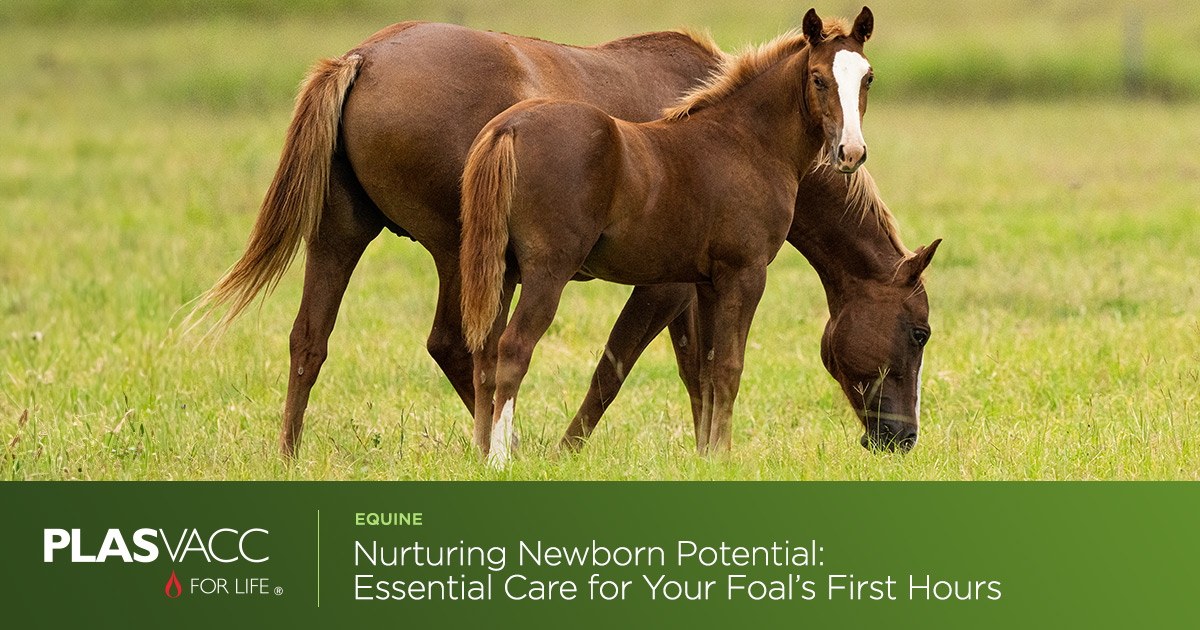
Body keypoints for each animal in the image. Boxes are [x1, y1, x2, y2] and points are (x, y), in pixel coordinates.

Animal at [460, 8, 879, 467]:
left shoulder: (709, 283)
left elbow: (708, 369)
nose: (850, 153)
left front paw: (709, 456)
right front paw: (723, 456)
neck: (748, 142)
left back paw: (480, 453)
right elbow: (729, 368)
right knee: (513, 349)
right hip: (547, 272)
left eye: (868, 77)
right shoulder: (745, 274)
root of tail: (509, 127)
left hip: (502, 271)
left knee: (483, 355)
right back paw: (499, 458)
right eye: (818, 78)